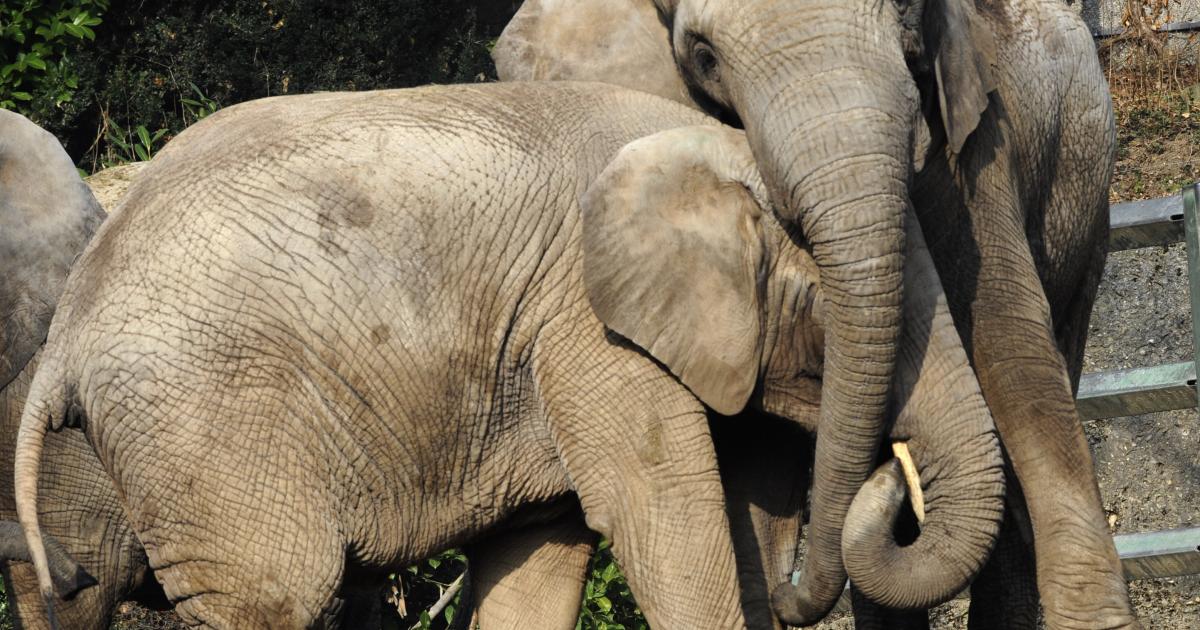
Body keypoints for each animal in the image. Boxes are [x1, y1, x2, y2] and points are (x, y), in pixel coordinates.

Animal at [13, 82, 1002, 628]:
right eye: (834, 308)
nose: (893, 472)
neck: (705, 149)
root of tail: (70, 333)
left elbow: (542, 558)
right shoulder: (584, 325)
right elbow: (659, 521)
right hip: (202, 429)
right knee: (277, 597)